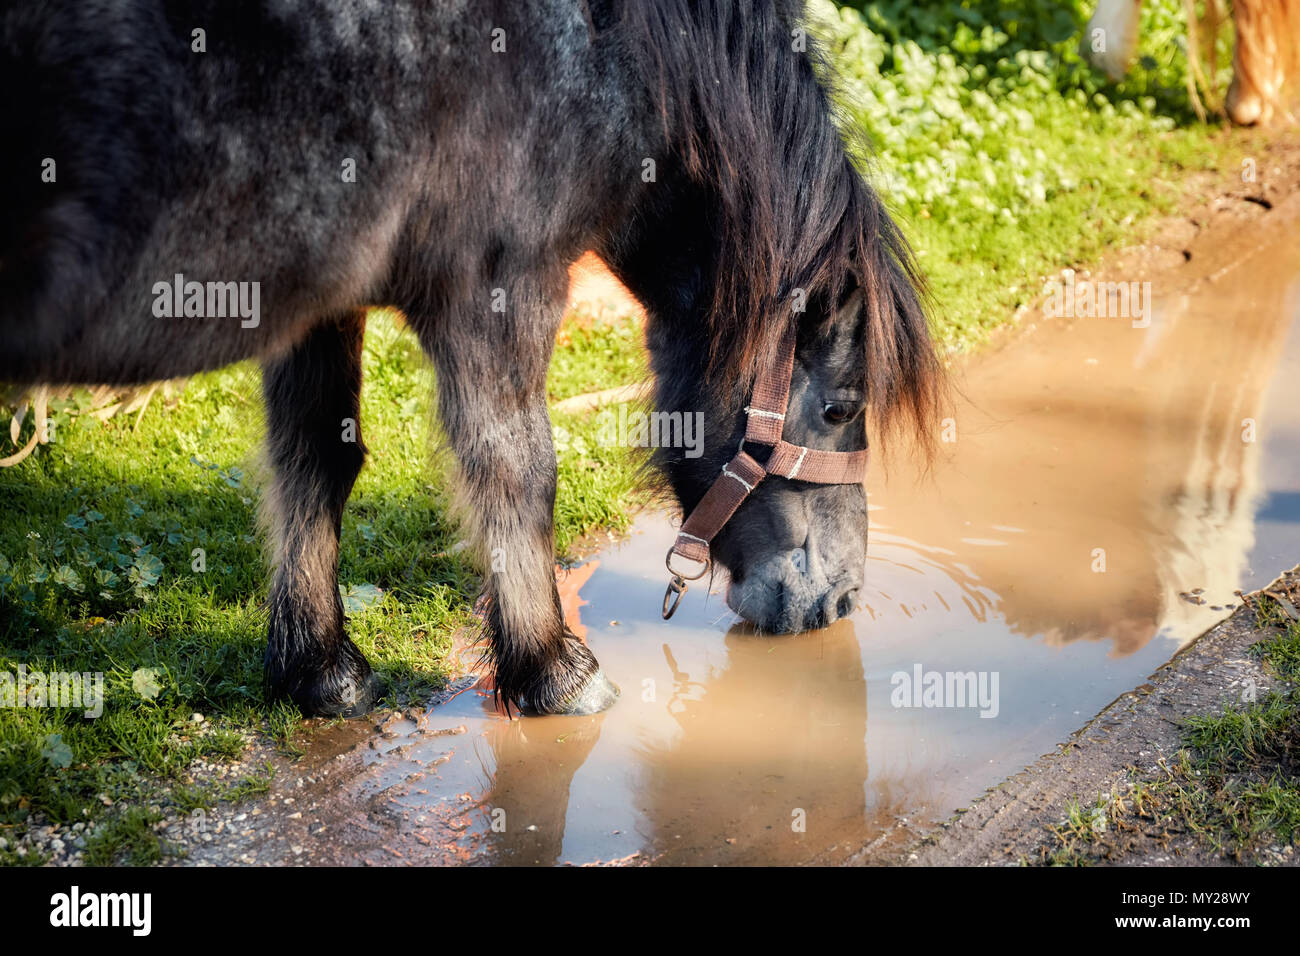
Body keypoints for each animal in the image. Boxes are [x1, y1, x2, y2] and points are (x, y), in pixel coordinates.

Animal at [0, 0, 941, 717]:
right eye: (843, 407)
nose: (841, 600)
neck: (616, 49)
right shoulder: (500, 287)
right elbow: (518, 470)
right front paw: (553, 668)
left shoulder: (320, 300)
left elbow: (316, 458)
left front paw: (319, 668)